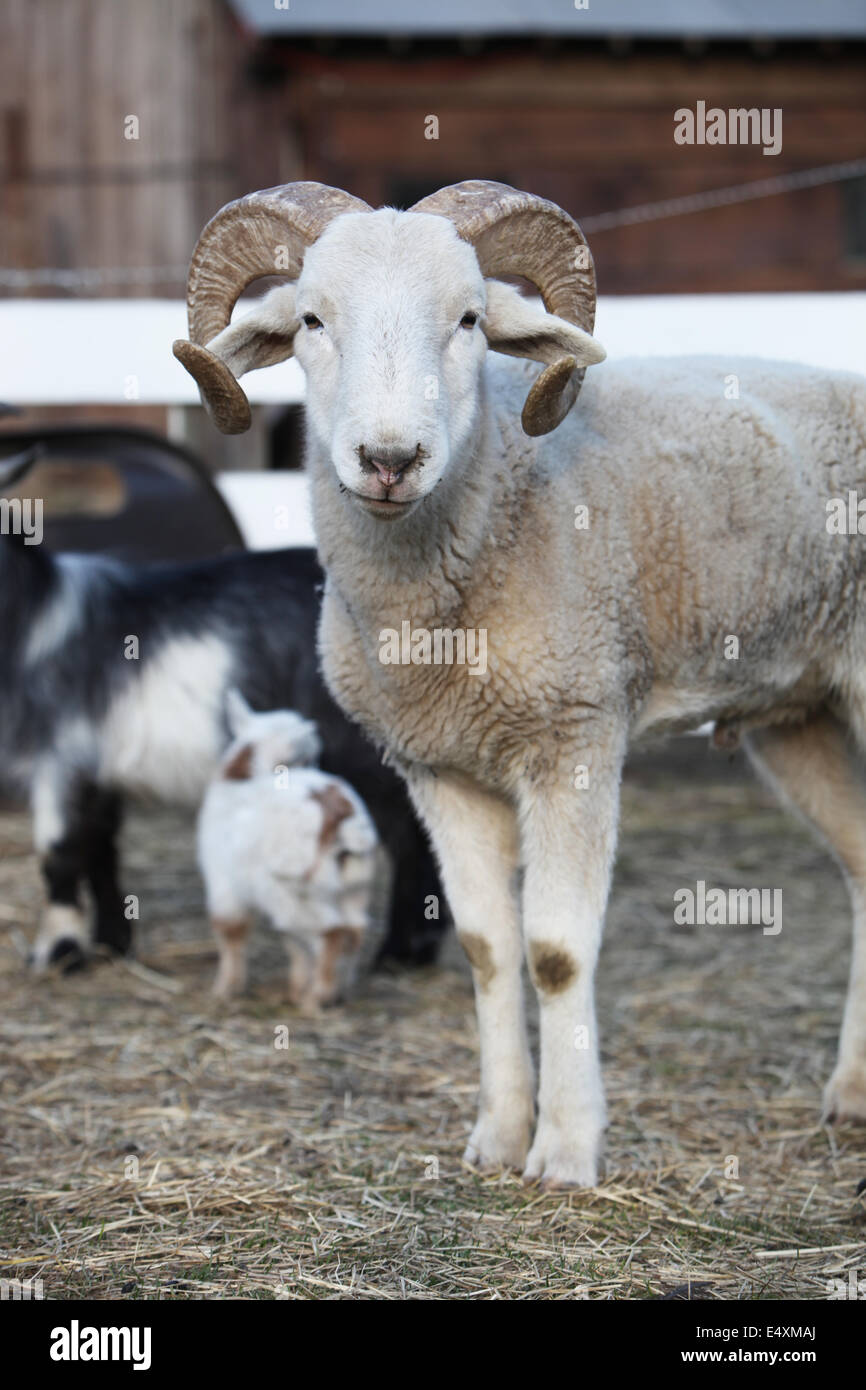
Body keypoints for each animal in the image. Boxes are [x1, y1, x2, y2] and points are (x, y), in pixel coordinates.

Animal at [0, 523, 445, 972]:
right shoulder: (99, 772)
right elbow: (100, 850)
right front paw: (111, 944)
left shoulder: (60, 755)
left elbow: (59, 853)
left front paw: (58, 952)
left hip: (365, 752)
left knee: (411, 835)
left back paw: (402, 951)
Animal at [197, 692, 378, 1009]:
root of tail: (342, 823)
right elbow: (294, 946)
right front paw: (297, 985)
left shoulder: (224, 887)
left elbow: (231, 934)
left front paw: (225, 989)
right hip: (353, 889)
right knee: (351, 932)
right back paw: (333, 991)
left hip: (297, 892)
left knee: (332, 934)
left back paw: (316, 999)